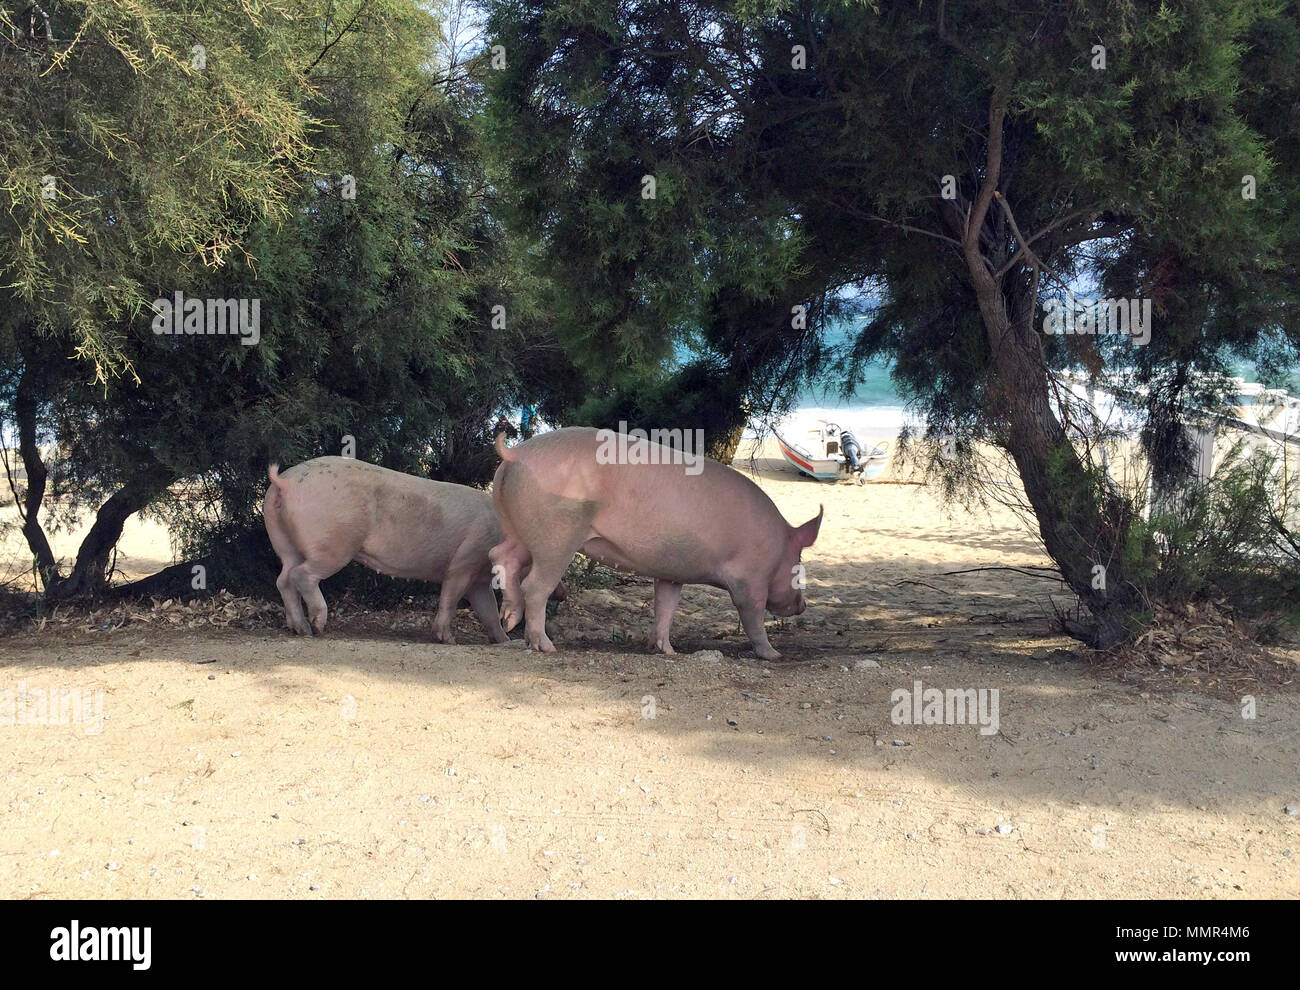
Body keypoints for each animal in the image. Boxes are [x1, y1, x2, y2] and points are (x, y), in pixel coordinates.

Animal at [264, 456, 563, 644]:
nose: (563, 592)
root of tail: (285, 482)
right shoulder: (465, 562)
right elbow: (451, 597)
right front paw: (449, 640)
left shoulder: (478, 580)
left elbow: (487, 610)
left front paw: (503, 640)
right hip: (333, 545)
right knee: (302, 575)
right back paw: (317, 626)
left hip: (285, 543)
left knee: (283, 579)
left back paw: (300, 629)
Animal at [488, 427, 822, 660]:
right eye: (799, 565)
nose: (803, 605)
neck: (778, 546)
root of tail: (518, 454)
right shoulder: (749, 580)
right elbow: (752, 615)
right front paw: (774, 655)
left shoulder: (672, 572)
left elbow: (666, 606)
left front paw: (666, 650)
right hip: (558, 535)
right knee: (535, 585)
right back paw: (545, 646)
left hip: (517, 526)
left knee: (501, 556)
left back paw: (508, 621)